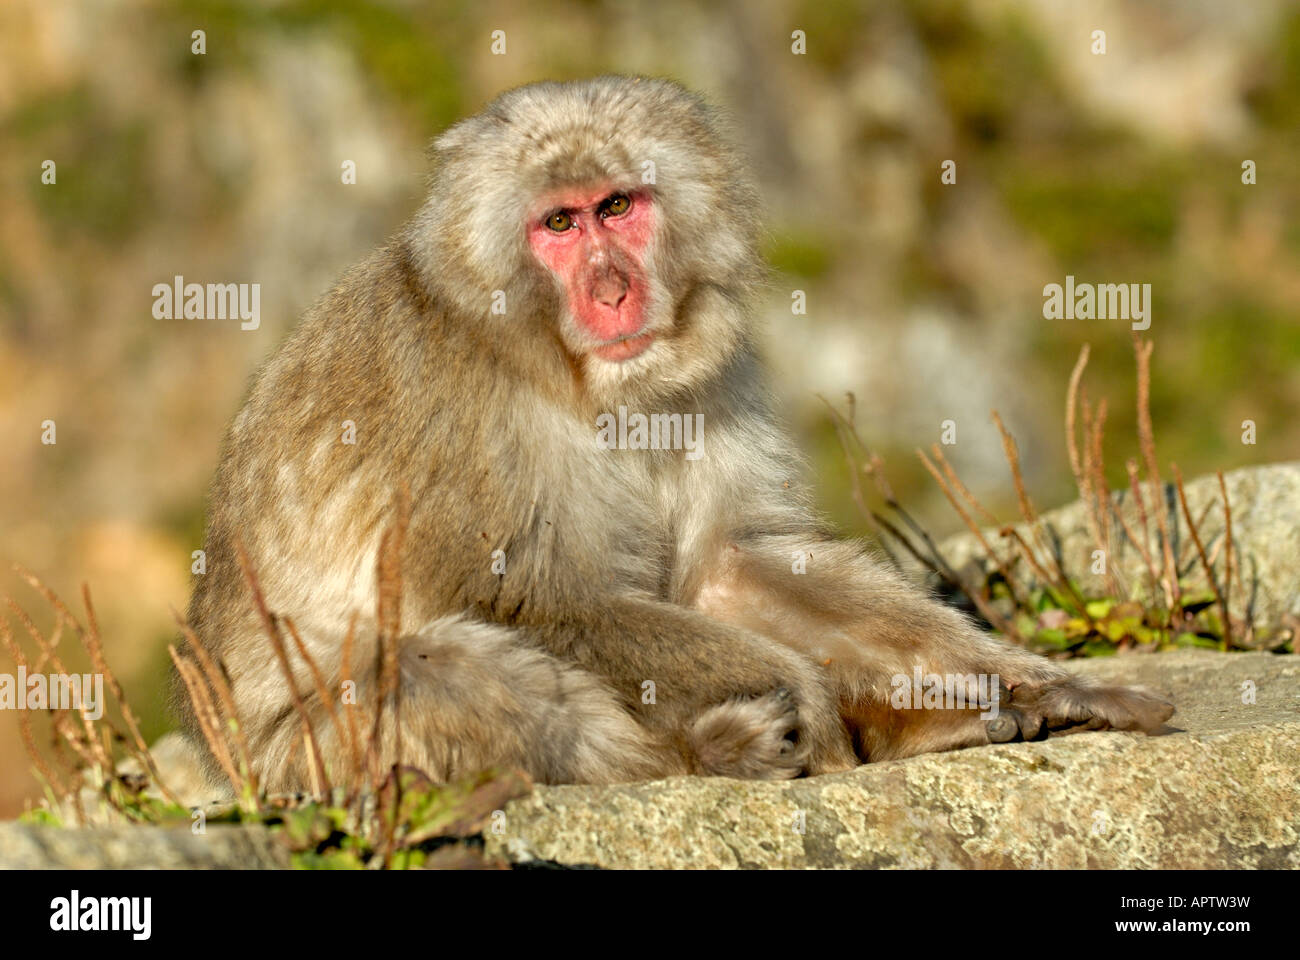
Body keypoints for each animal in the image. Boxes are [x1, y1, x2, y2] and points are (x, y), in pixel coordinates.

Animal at [175, 76, 1173, 794]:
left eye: (618, 207)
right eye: (559, 224)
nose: (612, 289)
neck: (570, 371)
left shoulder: (711, 380)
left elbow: (731, 567)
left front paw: (1035, 679)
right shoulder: (456, 409)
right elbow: (534, 605)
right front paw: (813, 702)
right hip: (304, 762)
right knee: (442, 666)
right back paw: (715, 753)